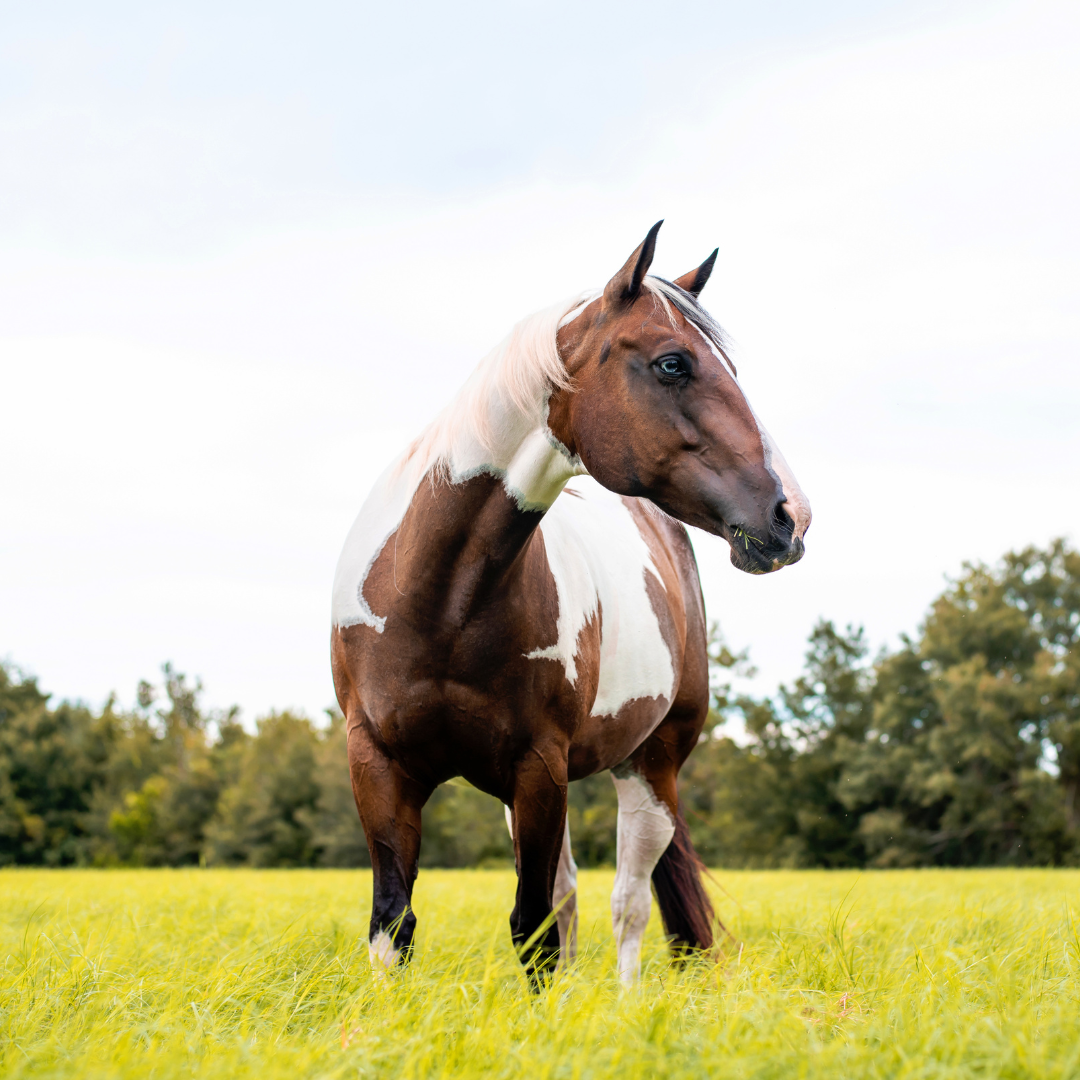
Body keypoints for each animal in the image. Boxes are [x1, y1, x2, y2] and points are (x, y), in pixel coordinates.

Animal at [331, 221, 811, 985]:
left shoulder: (538, 766)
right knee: (573, 893)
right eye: (673, 364)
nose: (791, 516)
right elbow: (393, 924)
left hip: (650, 767)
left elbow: (534, 929)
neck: (436, 599)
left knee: (627, 904)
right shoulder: (377, 764)